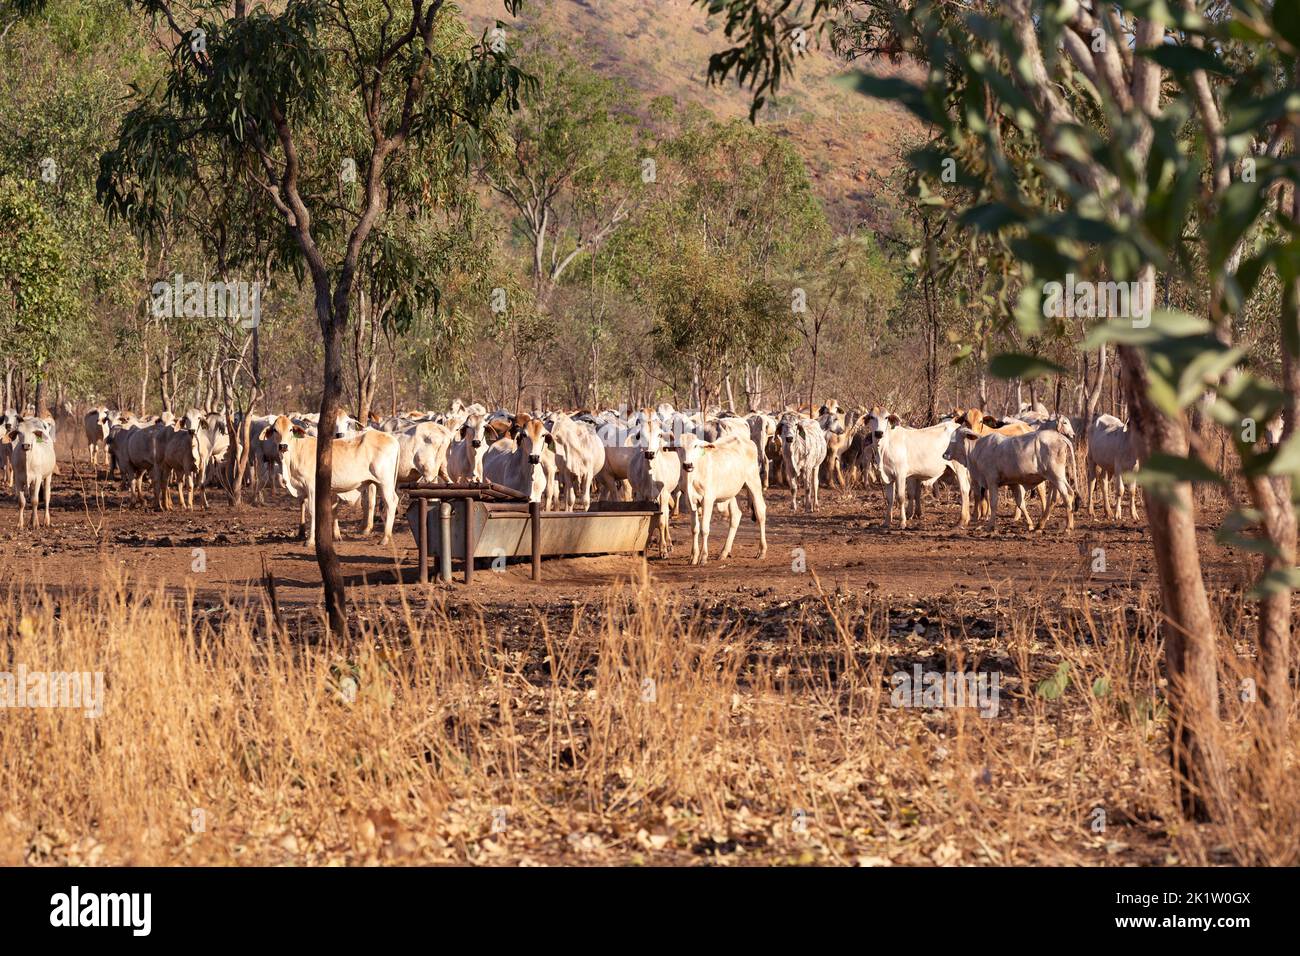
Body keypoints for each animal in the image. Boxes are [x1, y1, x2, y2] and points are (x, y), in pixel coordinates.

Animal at [670, 432, 768, 565]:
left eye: (695, 446)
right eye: (679, 447)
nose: (687, 464)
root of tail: (747, 441)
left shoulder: (708, 500)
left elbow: (704, 528)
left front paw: (703, 557)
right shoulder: (690, 501)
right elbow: (694, 529)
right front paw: (693, 557)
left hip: (753, 481)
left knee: (760, 512)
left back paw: (762, 551)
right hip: (732, 491)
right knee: (736, 515)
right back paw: (724, 552)